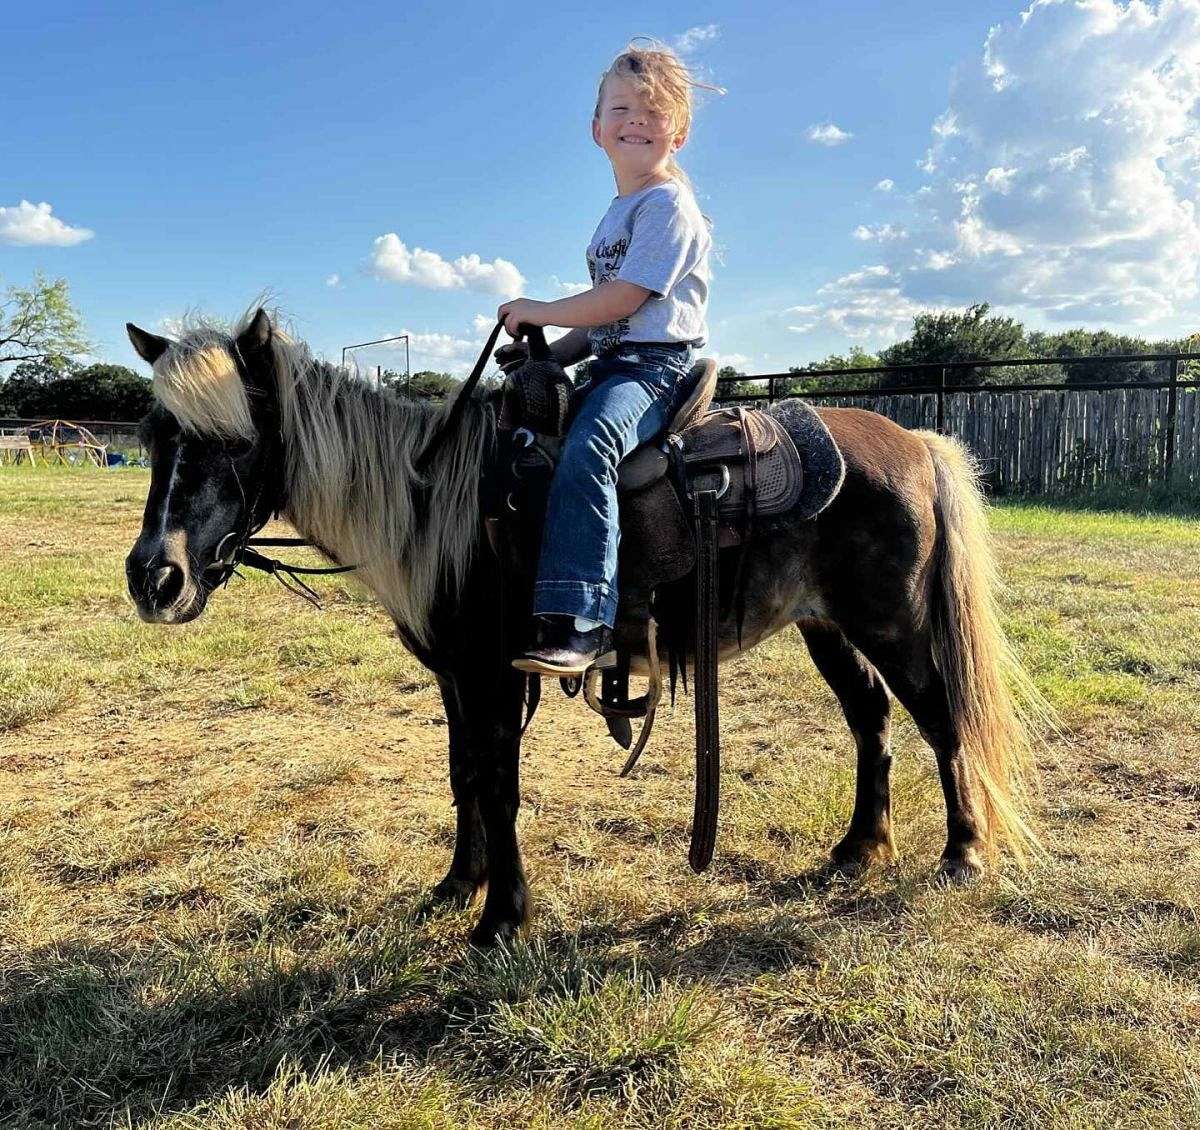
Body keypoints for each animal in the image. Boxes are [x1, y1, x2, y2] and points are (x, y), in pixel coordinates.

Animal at [123, 307, 1043, 946]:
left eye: (238, 442)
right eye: (155, 435)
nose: (154, 578)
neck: (438, 506)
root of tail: (917, 441)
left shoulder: (494, 678)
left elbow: (498, 786)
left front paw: (501, 920)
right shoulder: (456, 679)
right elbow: (463, 777)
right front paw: (457, 886)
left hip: (892, 623)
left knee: (942, 719)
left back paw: (962, 855)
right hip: (826, 626)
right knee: (871, 720)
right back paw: (857, 848)